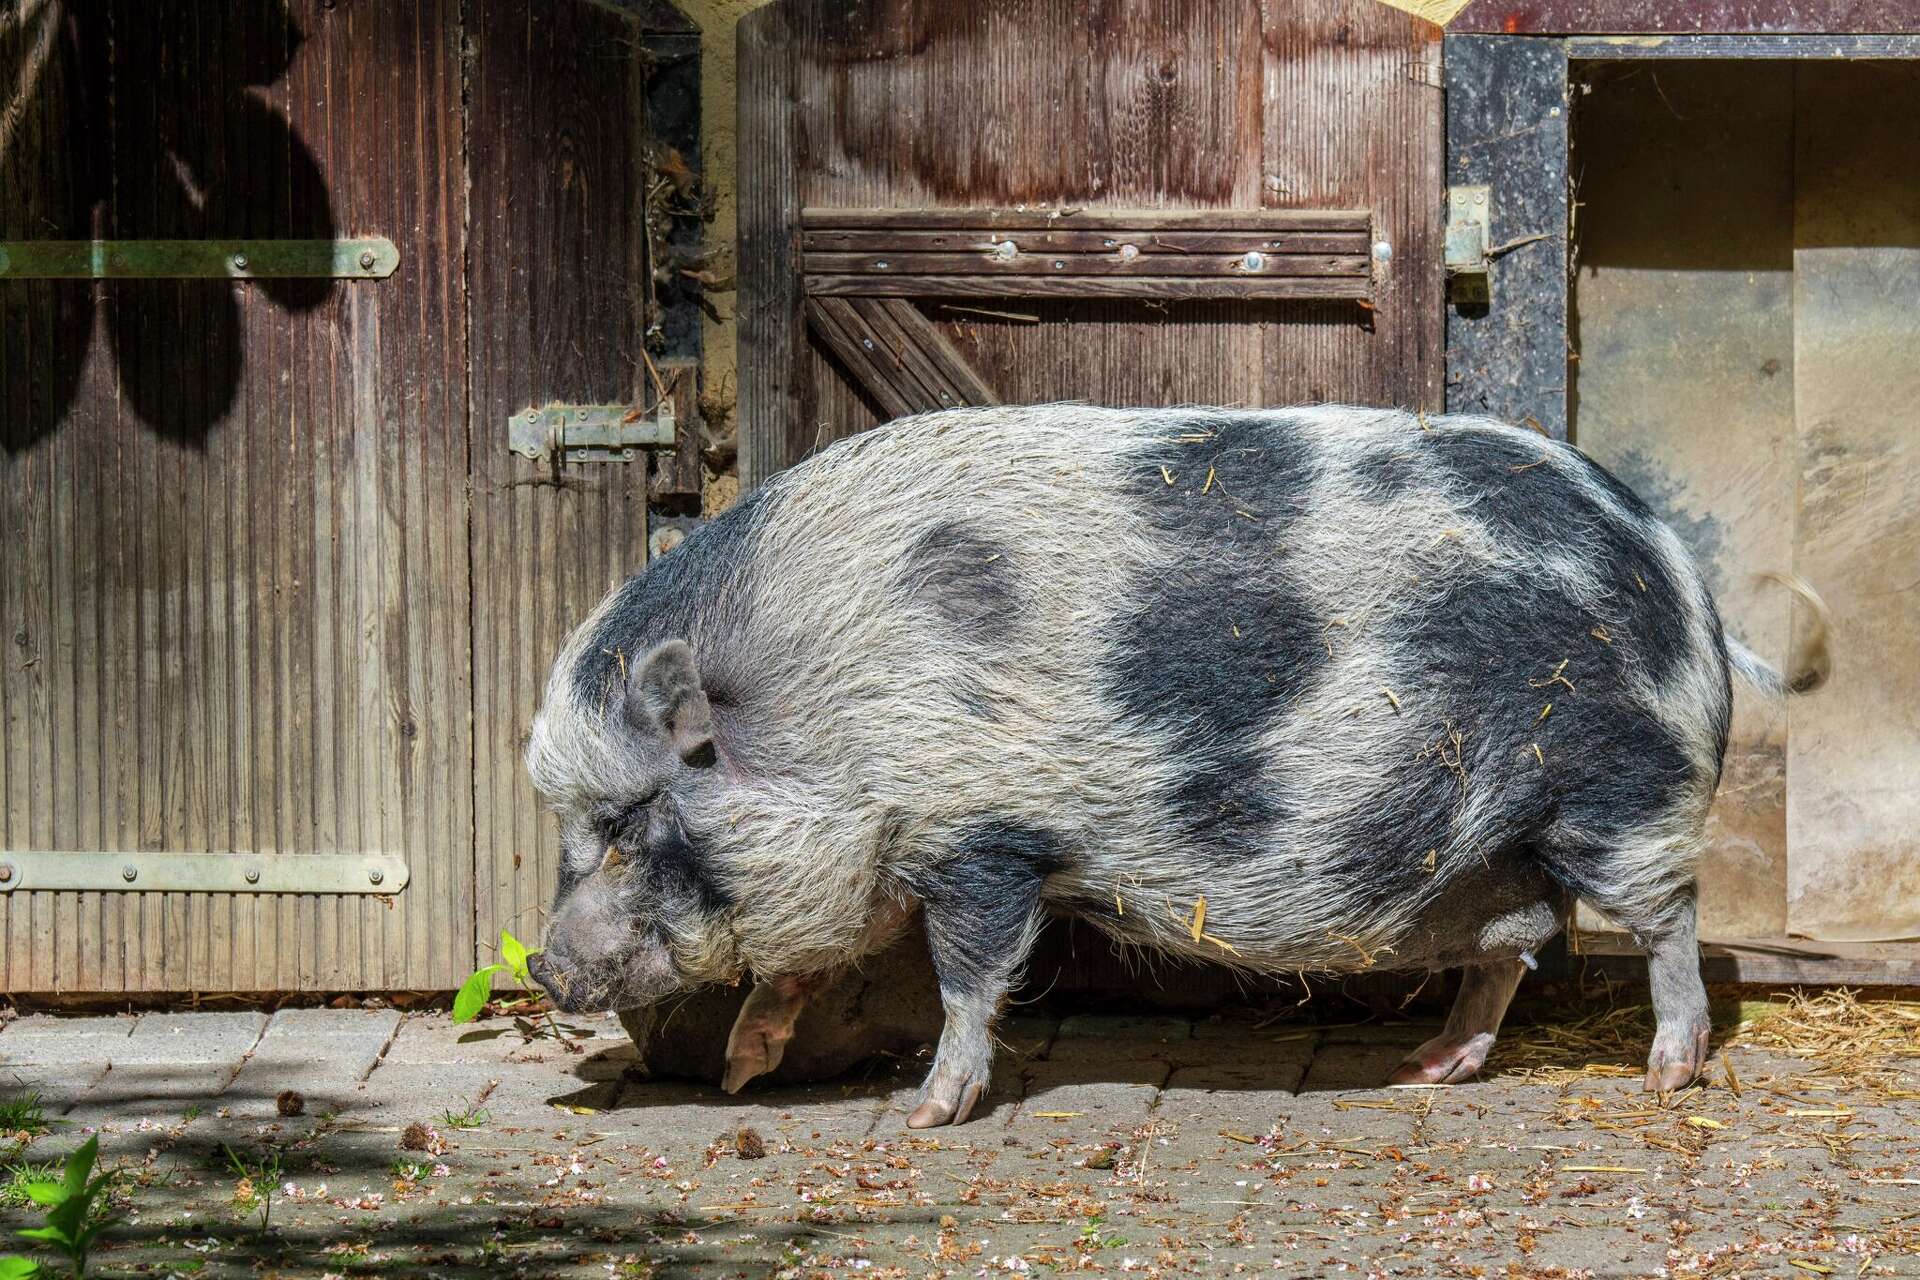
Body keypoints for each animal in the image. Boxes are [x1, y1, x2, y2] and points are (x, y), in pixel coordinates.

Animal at [524, 404, 1830, 1127]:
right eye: (575, 831)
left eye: (631, 822)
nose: (540, 965)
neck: (823, 710)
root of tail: (1682, 575)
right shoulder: (872, 853)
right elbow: (803, 961)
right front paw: (742, 1076)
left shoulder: (983, 837)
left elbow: (968, 974)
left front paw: (928, 1114)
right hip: (1494, 850)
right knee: (1513, 942)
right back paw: (1423, 1070)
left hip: (1619, 793)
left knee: (1664, 919)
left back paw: (1667, 1075)